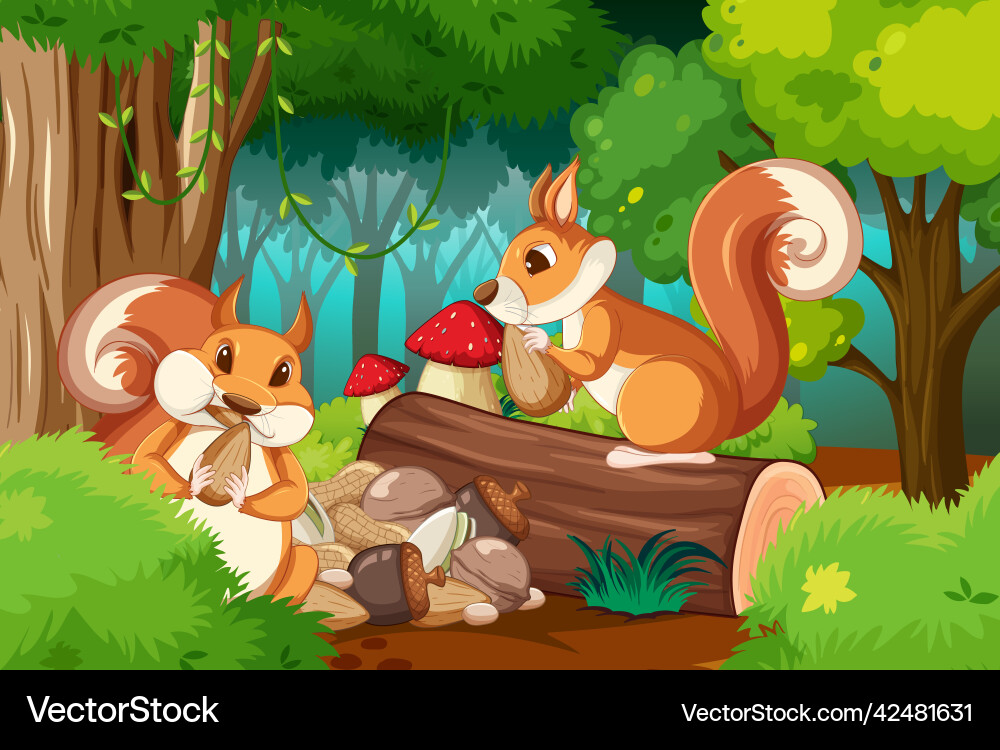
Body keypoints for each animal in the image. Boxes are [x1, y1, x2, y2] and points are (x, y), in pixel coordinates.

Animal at [58, 275, 319, 604]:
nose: (242, 402)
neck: (222, 427)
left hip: (301, 565)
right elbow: (145, 462)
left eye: (284, 373)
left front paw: (239, 493)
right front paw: (197, 481)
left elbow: (295, 493)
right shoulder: (173, 429)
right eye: (223, 355)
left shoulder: (281, 455)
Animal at [474, 156, 863, 468]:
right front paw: (569, 396)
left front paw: (539, 340)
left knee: (694, 454)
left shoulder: (605, 317)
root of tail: (731, 416)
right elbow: (583, 372)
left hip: (653, 391)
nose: (483, 293)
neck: (579, 308)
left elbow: (591, 361)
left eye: (537, 261)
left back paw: (633, 455)